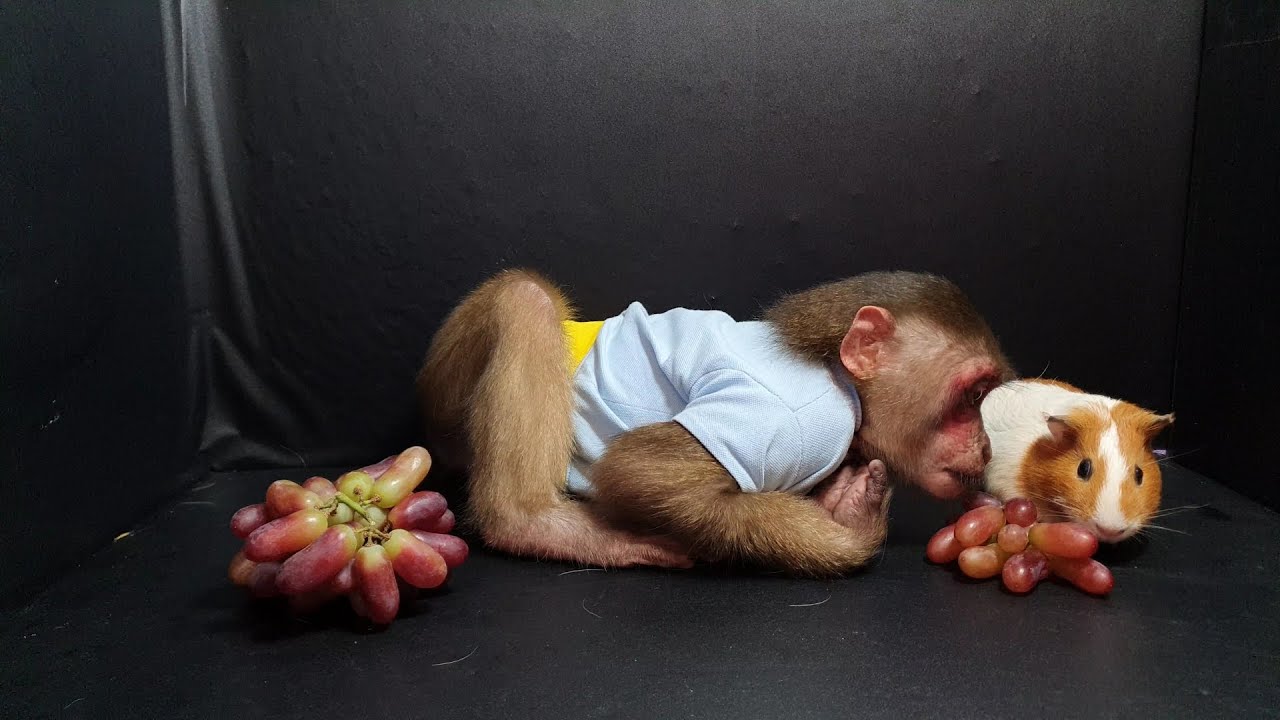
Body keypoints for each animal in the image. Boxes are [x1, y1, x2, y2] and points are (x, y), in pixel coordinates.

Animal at [416, 269, 1013, 577]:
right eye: (972, 396)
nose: (986, 446)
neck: (838, 375)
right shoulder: (790, 419)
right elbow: (639, 469)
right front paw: (846, 538)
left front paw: (844, 506)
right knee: (525, 299)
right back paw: (532, 522)